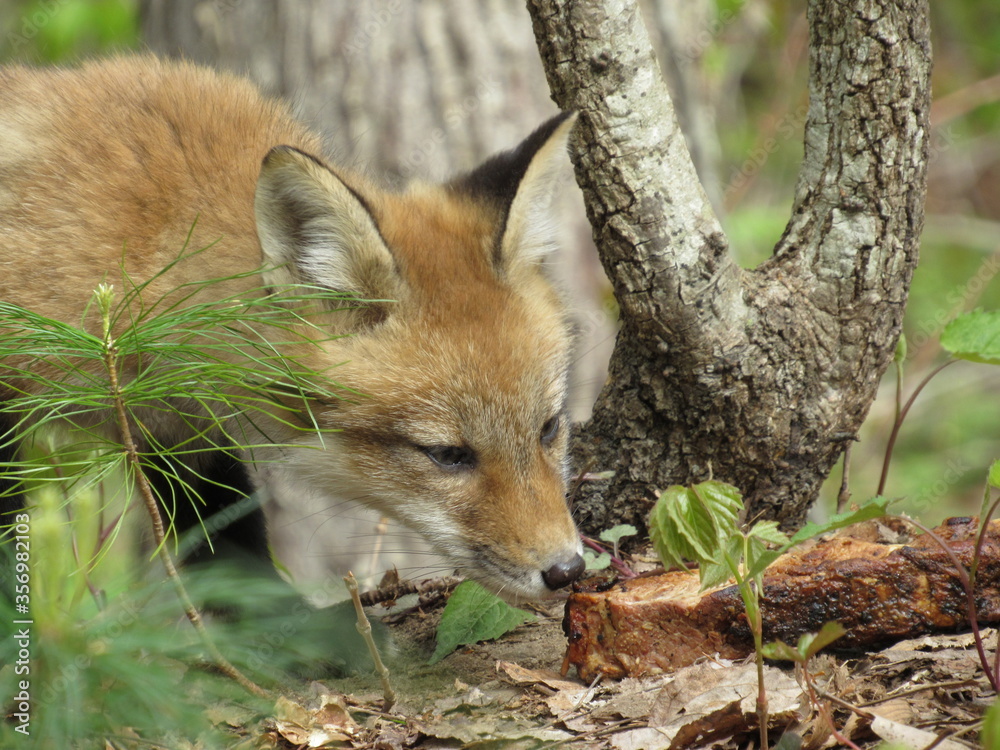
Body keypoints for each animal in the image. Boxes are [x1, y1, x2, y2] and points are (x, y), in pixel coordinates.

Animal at [0, 56, 584, 607]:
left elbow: (224, 539)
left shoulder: (174, 424)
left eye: (549, 427)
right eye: (446, 454)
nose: (567, 570)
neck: (142, 236)